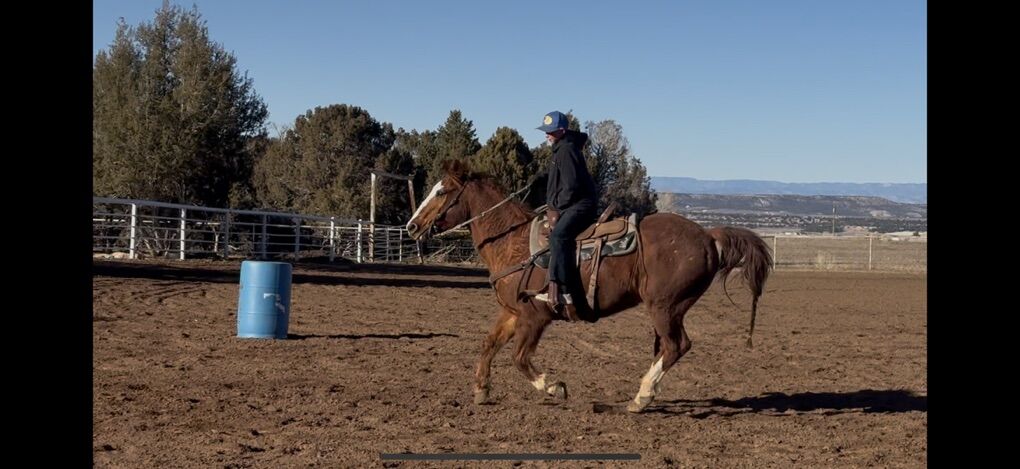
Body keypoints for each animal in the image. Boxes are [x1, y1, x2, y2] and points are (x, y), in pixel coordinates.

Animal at [406, 160, 773, 413]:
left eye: (441, 191)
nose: (411, 226)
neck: (514, 242)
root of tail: (709, 236)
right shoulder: (512, 313)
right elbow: (489, 344)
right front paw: (482, 389)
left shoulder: (535, 317)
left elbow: (519, 358)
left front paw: (554, 387)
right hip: (671, 308)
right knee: (671, 348)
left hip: (664, 307)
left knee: (675, 346)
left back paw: (640, 398)